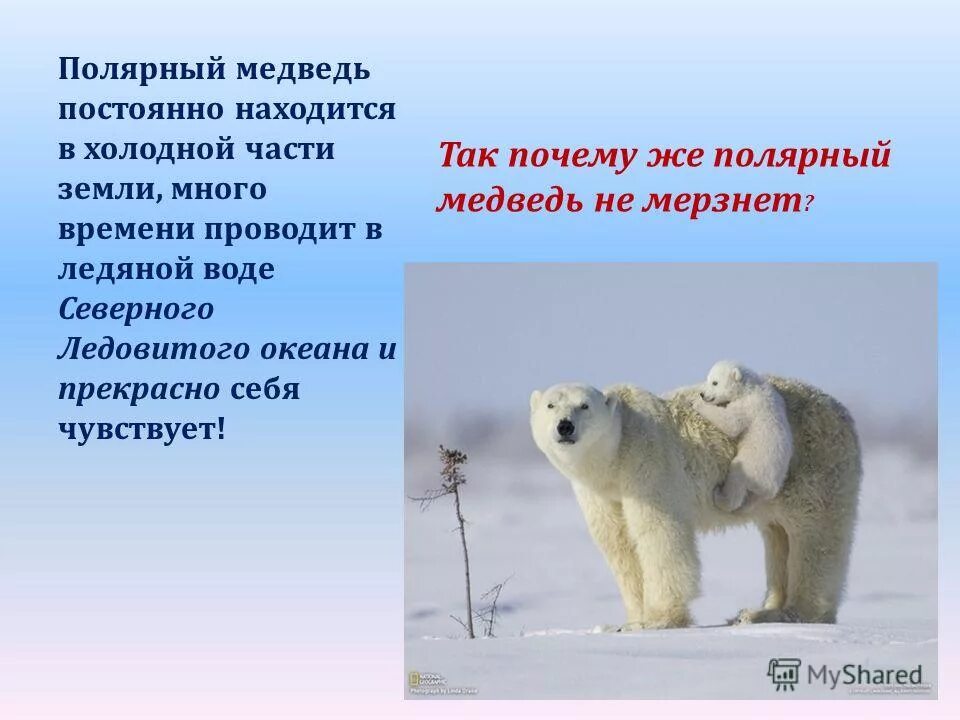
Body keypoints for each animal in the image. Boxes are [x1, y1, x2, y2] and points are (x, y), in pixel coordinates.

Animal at [530, 379, 860, 629]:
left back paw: (794, 613)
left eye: (584, 405)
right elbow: (619, 544)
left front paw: (659, 620)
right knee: (777, 535)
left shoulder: (647, 463)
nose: (565, 426)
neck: (614, 457)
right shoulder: (599, 493)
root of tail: (842, 411)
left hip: (813, 464)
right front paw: (629, 622)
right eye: (551, 405)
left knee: (814, 536)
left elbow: (659, 535)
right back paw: (757, 612)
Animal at [695, 361, 793, 513]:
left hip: (752, 467)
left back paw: (720, 497)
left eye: (715, 382)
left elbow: (731, 423)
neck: (749, 387)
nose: (702, 394)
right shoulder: (775, 396)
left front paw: (697, 403)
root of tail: (771, 488)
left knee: (736, 480)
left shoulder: (748, 405)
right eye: (708, 379)